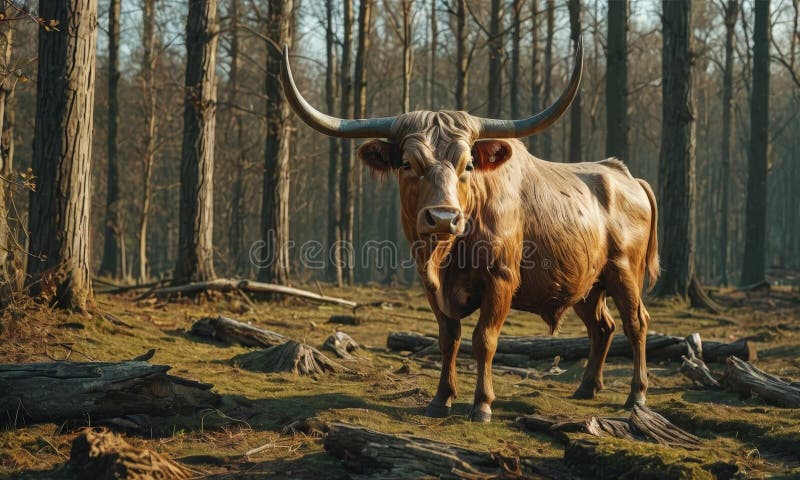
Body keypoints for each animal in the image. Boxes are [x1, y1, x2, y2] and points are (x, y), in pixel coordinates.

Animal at [280, 39, 659, 422]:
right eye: (407, 164)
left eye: (468, 164)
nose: (443, 217)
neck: (450, 254)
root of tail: (624, 175)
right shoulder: (431, 286)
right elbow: (448, 338)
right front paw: (440, 399)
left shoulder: (501, 279)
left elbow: (483, 339)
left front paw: (482, 404)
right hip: (587, 284)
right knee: (602, 327)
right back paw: (587, 387)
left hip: (625, 272)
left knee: (636, 322)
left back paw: (637, 395)